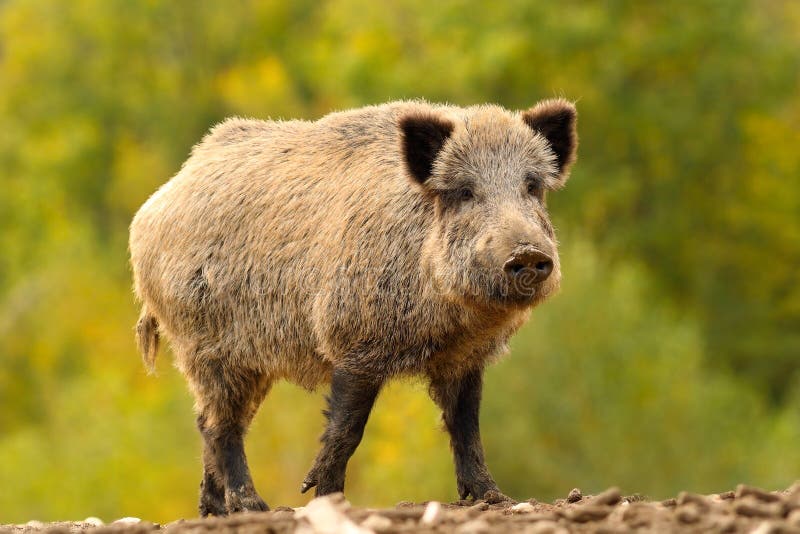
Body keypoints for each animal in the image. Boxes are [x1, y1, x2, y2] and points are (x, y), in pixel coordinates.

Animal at [129, 99, 577, 515]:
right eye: (465, 192)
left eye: (532, 187)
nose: (527, 253)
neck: (450, 319)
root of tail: (152, 208)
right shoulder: (354, 339)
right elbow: (348, 427)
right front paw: (324, 496)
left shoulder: (465, 357)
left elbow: (466, 425)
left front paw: (494, 498)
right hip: (206, 344)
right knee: (221, 426)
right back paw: (253, 507)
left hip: (248, 361)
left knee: (210, 420)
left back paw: (216, 510)